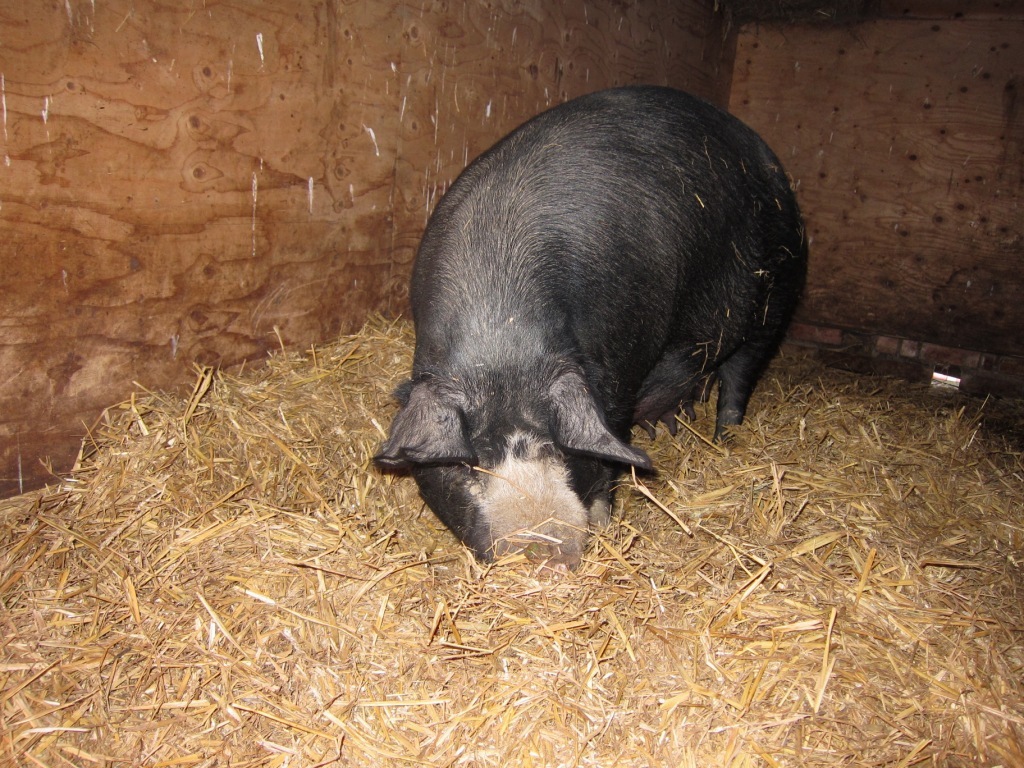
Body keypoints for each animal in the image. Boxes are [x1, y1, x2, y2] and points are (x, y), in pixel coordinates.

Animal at [375, 85, 807, 568]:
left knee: (739, 378)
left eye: (562, 448)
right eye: (470, 463)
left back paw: (725, 442)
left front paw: (602, 521)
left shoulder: (618, 372)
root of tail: (765, 156)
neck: (500, 338)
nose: (543, 550)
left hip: (776, 295)